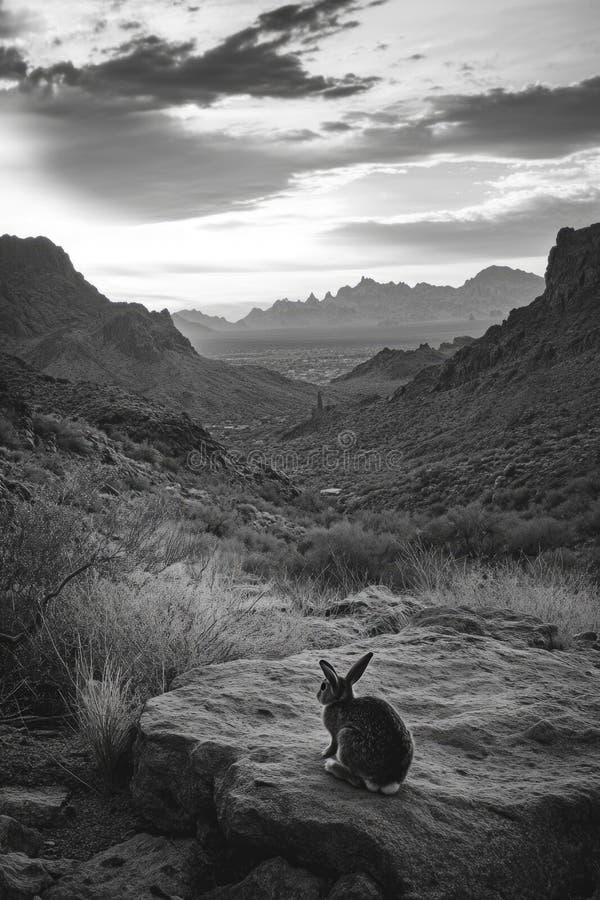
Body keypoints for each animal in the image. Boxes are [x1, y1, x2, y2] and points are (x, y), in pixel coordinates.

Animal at [317, 651, 413, 795]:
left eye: (323, 687)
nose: (317, 696)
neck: (340, 701)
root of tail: (385, 781)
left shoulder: (334, 733)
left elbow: (332, 745)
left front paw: (324, 753)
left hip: (346, 736)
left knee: (357, 781)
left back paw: (331, 766)